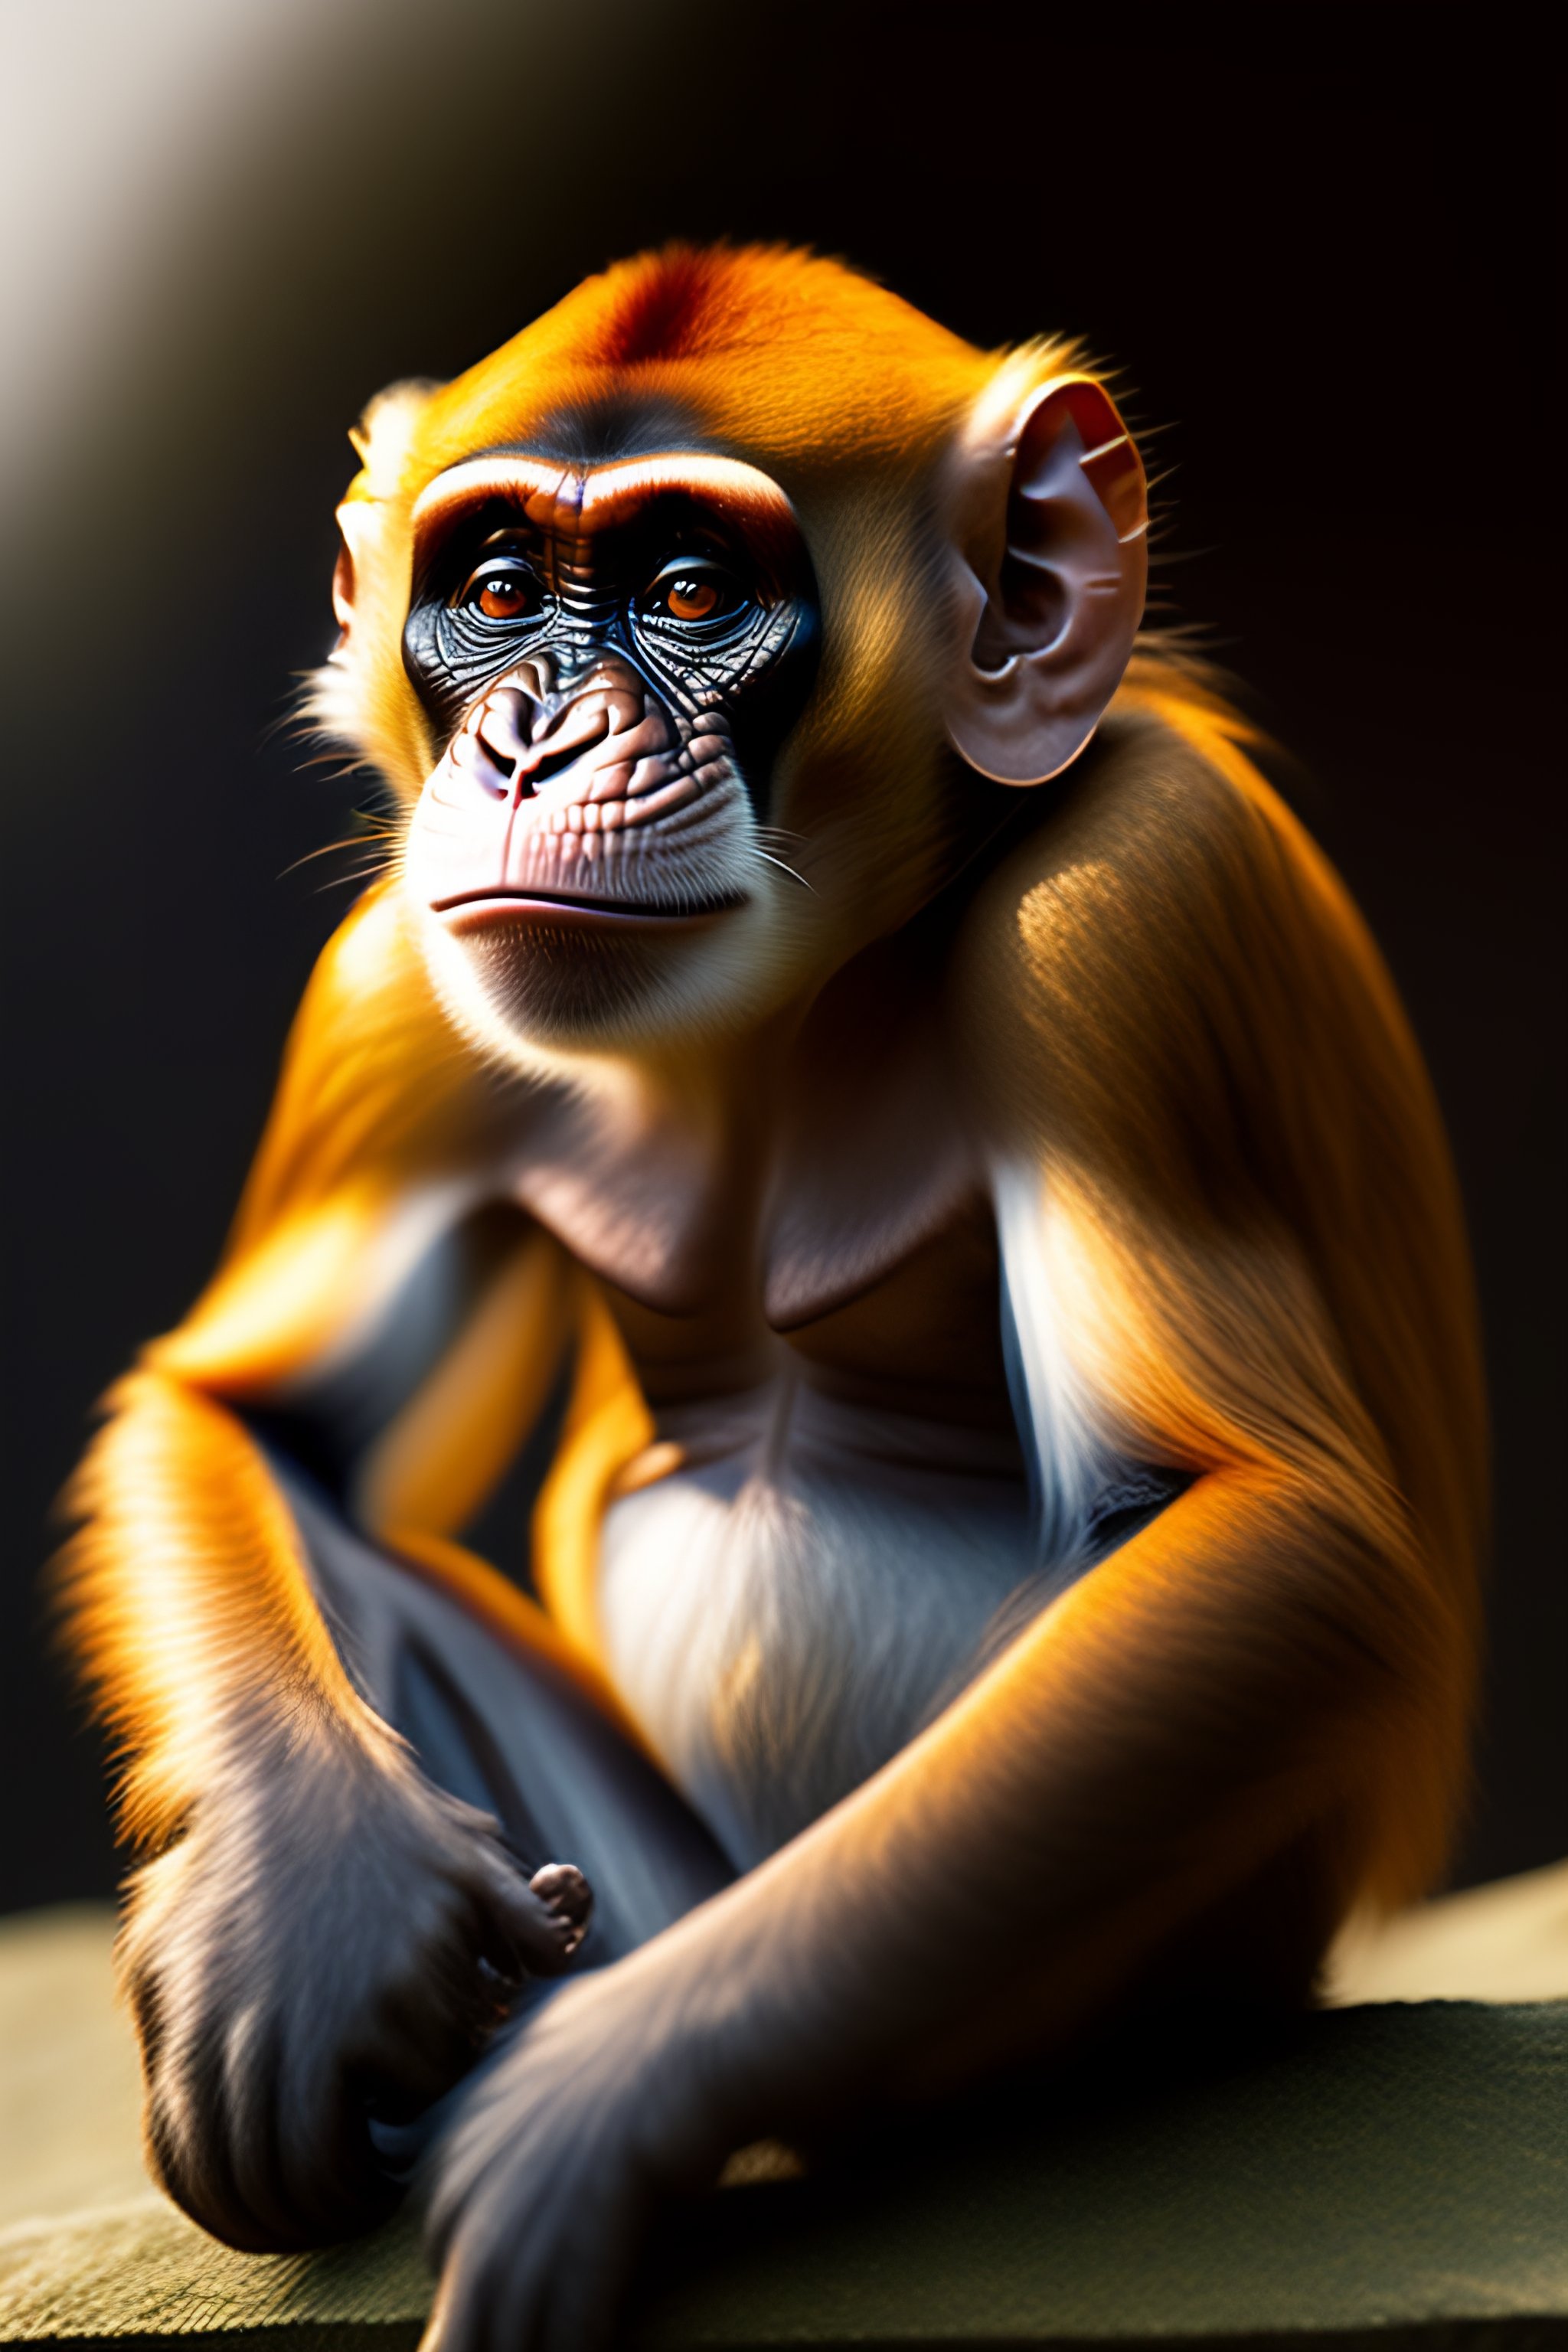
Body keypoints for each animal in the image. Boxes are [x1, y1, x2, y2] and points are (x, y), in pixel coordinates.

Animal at [60, 245, 1484, 2352]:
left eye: (683, 593)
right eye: (498, 593)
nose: (530, 741)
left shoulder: (1134, 899)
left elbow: (1266, 1536)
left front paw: (595, 2103)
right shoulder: (394, 965)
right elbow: (254, 1410)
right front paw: (304, 1904)